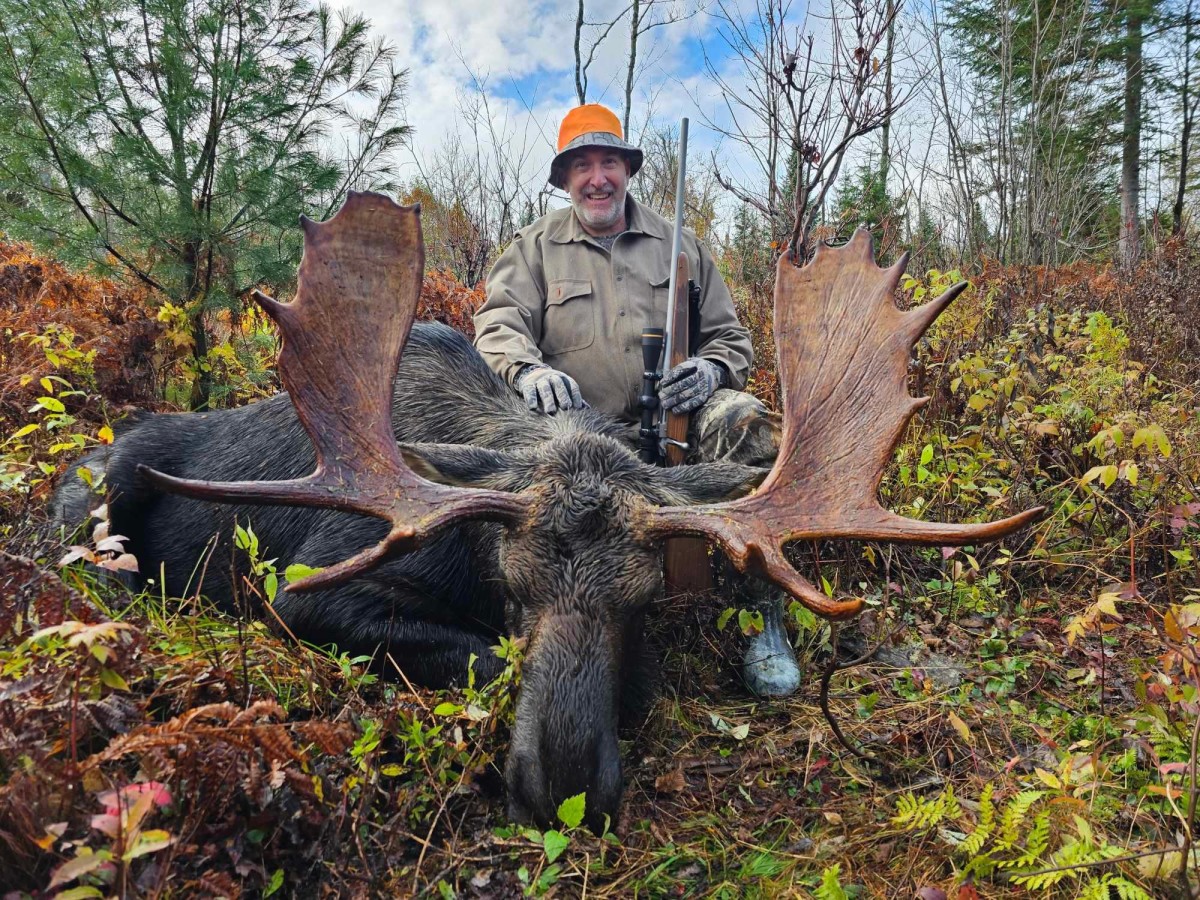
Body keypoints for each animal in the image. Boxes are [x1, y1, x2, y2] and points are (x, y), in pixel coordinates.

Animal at [52, 192, 1042, 831]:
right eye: (512, 588)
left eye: (643, 600)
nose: (561, 793)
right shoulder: (305, 589)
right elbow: (483, 656)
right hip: (100, 503)